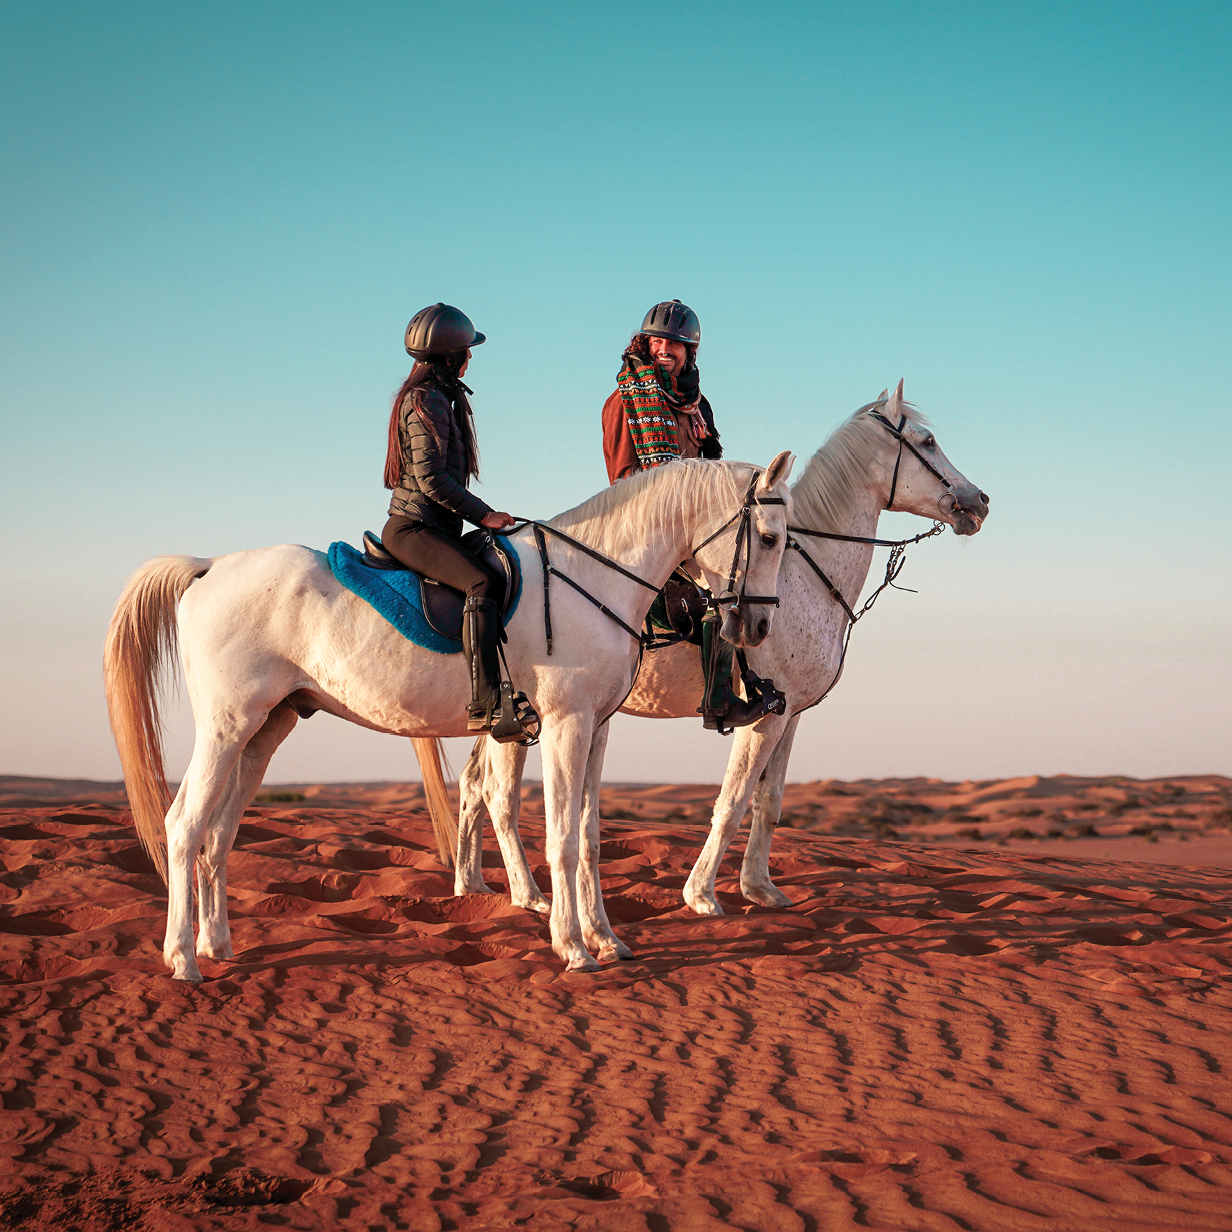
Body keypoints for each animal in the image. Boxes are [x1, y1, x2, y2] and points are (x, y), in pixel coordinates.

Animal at [104, 453, 795, 981]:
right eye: (768, 537)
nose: (760, 627)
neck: (591, 574)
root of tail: (208, 568)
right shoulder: (566, 723)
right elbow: (563, 837)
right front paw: (572, 947)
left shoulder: (595, 728)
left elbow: (591, 836)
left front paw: (606, 939)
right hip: (227, 727)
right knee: (183, 825)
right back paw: (182, 959)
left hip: (264, 731)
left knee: (219, 834)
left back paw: (218, 945)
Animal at [447, 381, 989, 919]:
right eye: (927, 441)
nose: (978, 501)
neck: (803, 574)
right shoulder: (764, 714)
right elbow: (733, 800)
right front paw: (702, 894)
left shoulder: (791, 714)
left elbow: (770, 801)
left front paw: (761, 888)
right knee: (498, 793)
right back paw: (529, 897)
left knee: (473, 784)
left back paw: (472, 886)